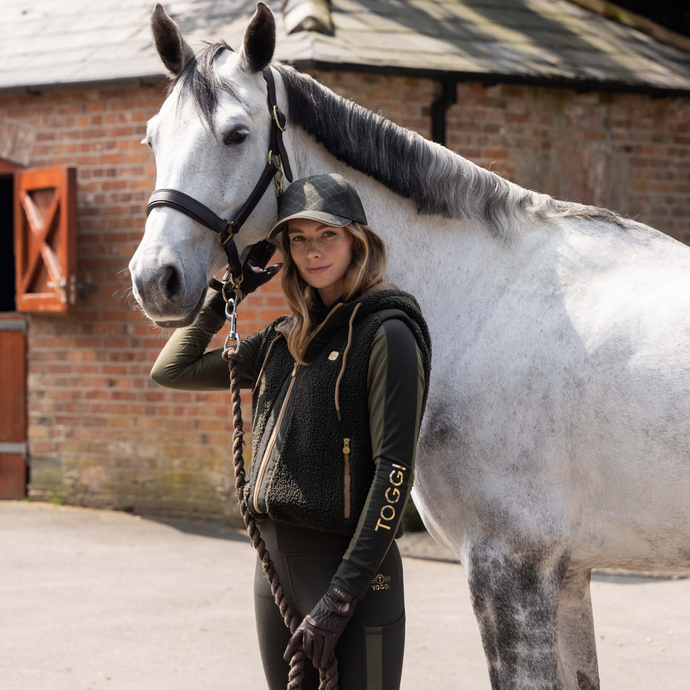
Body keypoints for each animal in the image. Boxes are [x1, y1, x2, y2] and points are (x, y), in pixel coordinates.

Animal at [128, 3, 690, 688]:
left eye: (236, 134)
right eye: (153, 138)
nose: (155, 279)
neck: (483, 297)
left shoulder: (512, 567)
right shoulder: (569, 573)